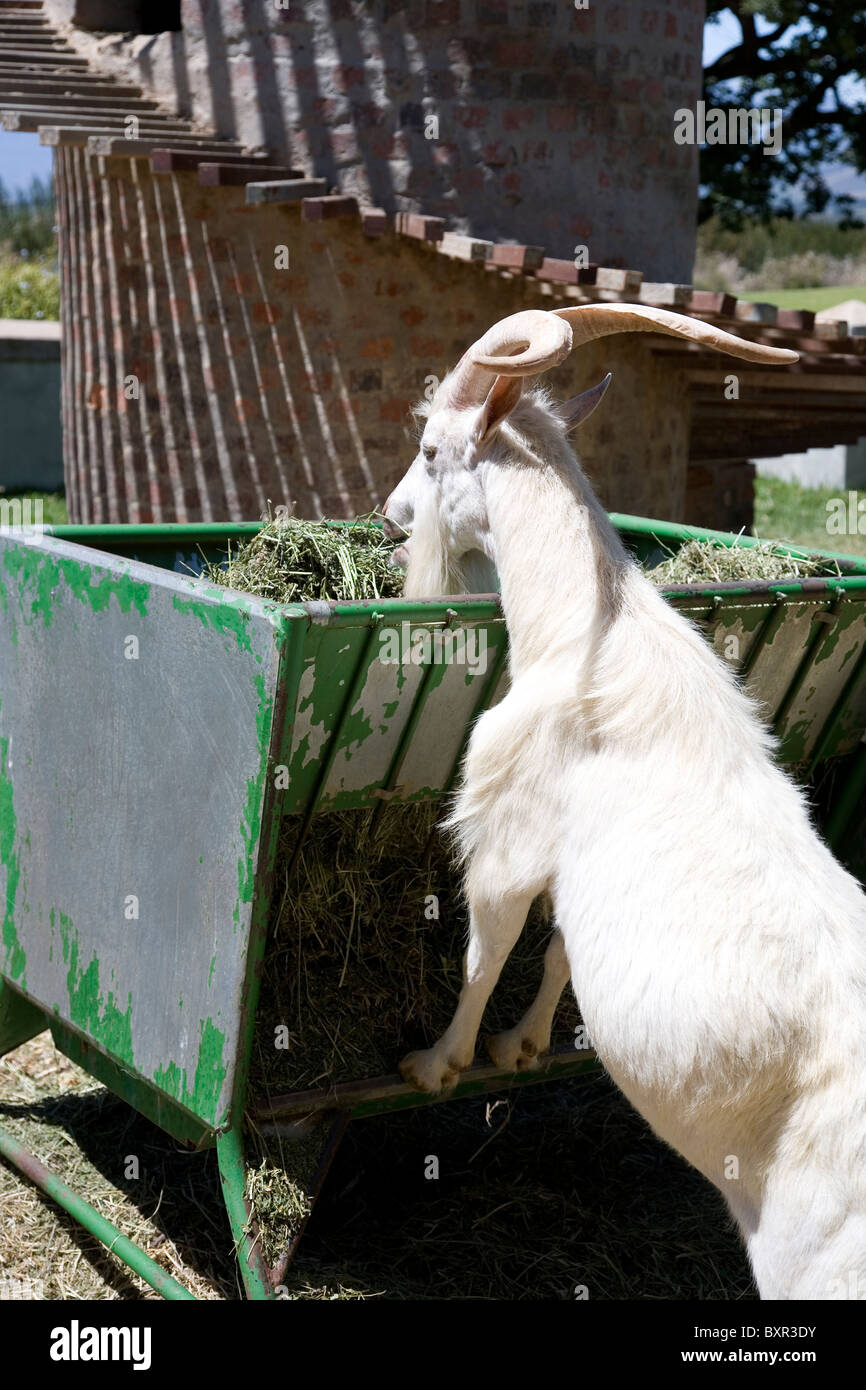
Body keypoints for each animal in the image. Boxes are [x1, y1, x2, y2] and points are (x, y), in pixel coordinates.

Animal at [382, 304, 866, 1301]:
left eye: (431, 447)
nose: (390, 515)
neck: (583, 635)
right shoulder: (578, 875)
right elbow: (564, 948)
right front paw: (525, 1049)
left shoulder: (507, 846)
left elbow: (484, 955)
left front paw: (439, 1063)